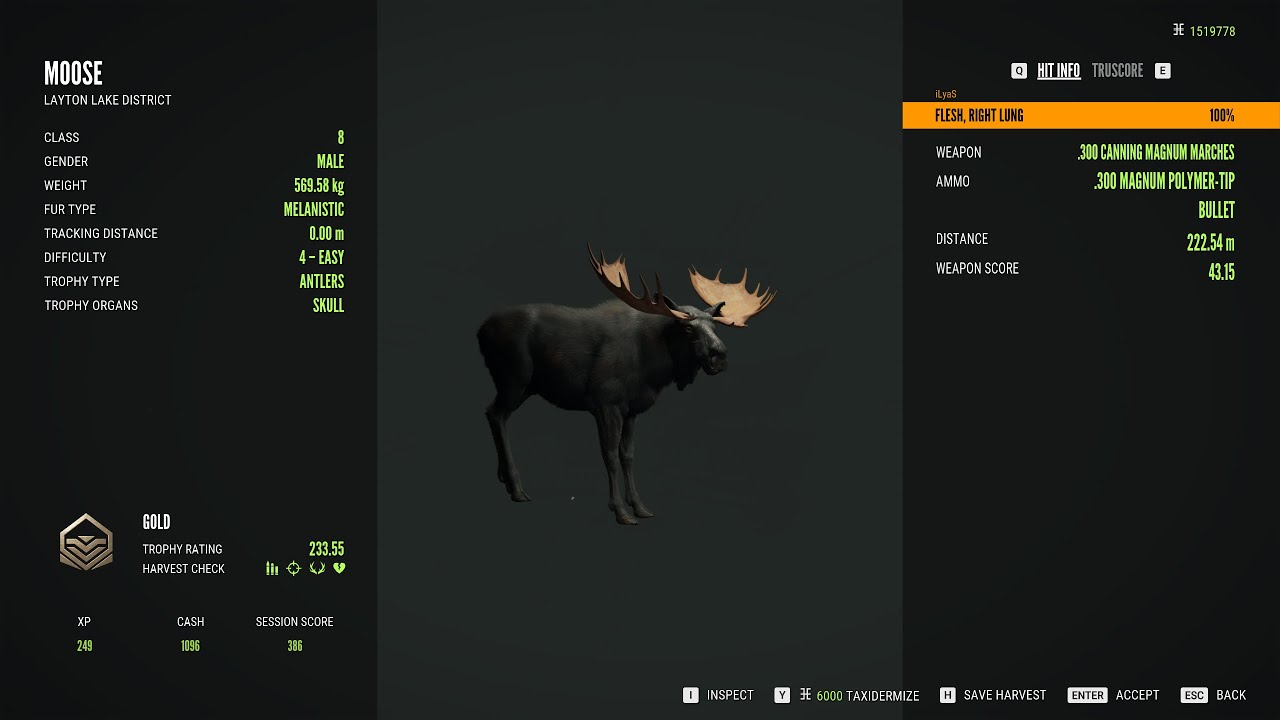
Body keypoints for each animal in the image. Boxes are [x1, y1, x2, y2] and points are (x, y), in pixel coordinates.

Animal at [477, 245, 776, 525]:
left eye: (715, 327)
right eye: (688, 328)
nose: (720, 356)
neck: (653, 369)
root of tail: (480, 330)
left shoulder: (632, 409)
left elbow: (628, 455)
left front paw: (640, 507)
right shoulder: (606, 403)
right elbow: (609, 455)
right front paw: (620, 511)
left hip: (523, 386)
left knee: (494, 413)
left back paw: (505, 480)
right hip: (514, 379)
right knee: (495, 413)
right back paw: (516, 487)